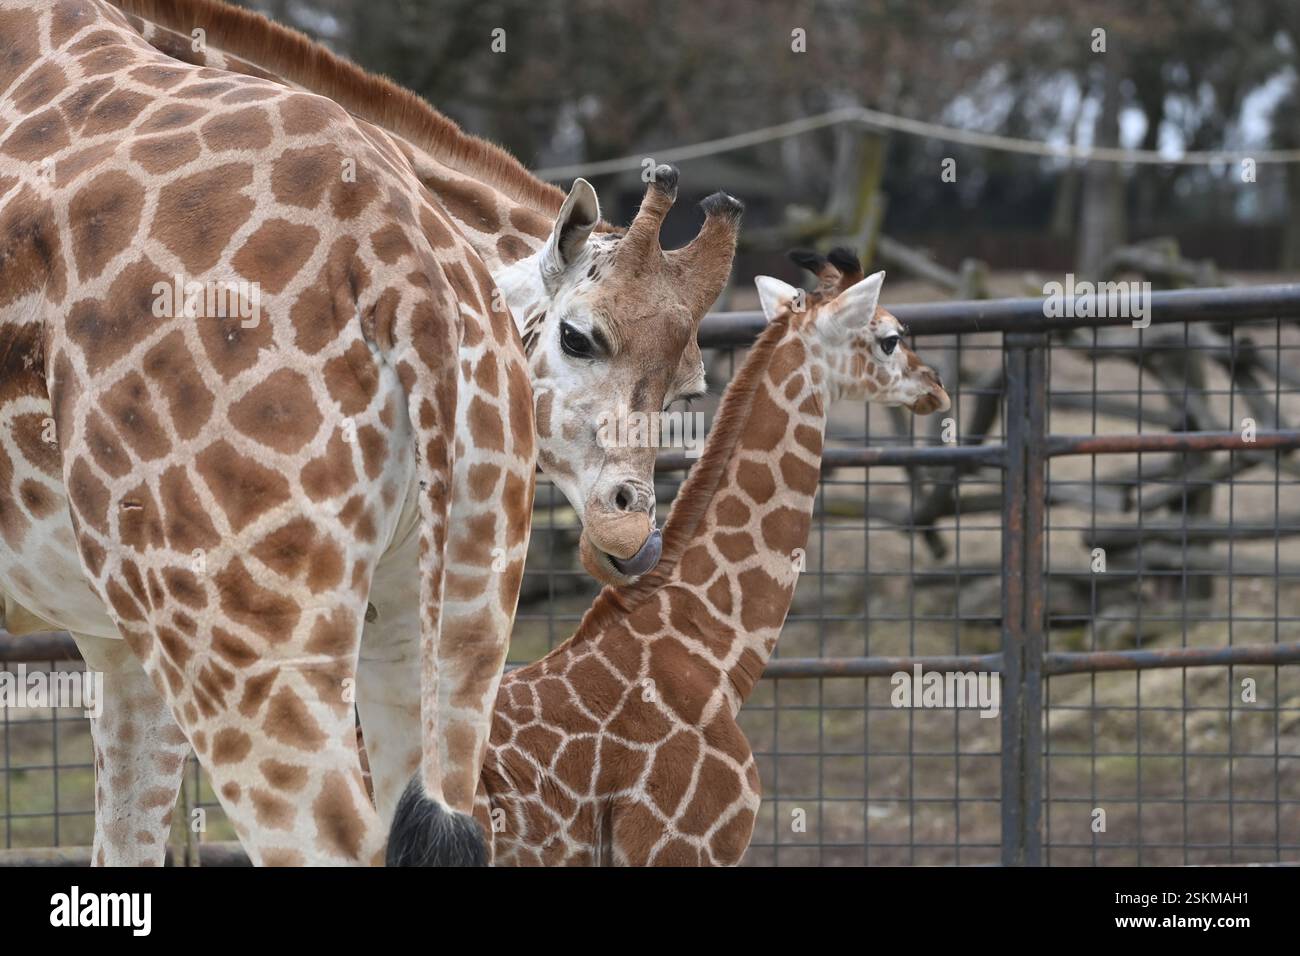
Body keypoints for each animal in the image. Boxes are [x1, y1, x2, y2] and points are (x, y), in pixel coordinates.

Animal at [0, 0, 738, 866]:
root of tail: (402, 269)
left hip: (227, 623)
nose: (631, 534)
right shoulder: (117, 643)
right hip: (452, 618)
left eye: (688, 386)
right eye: (579, 337)